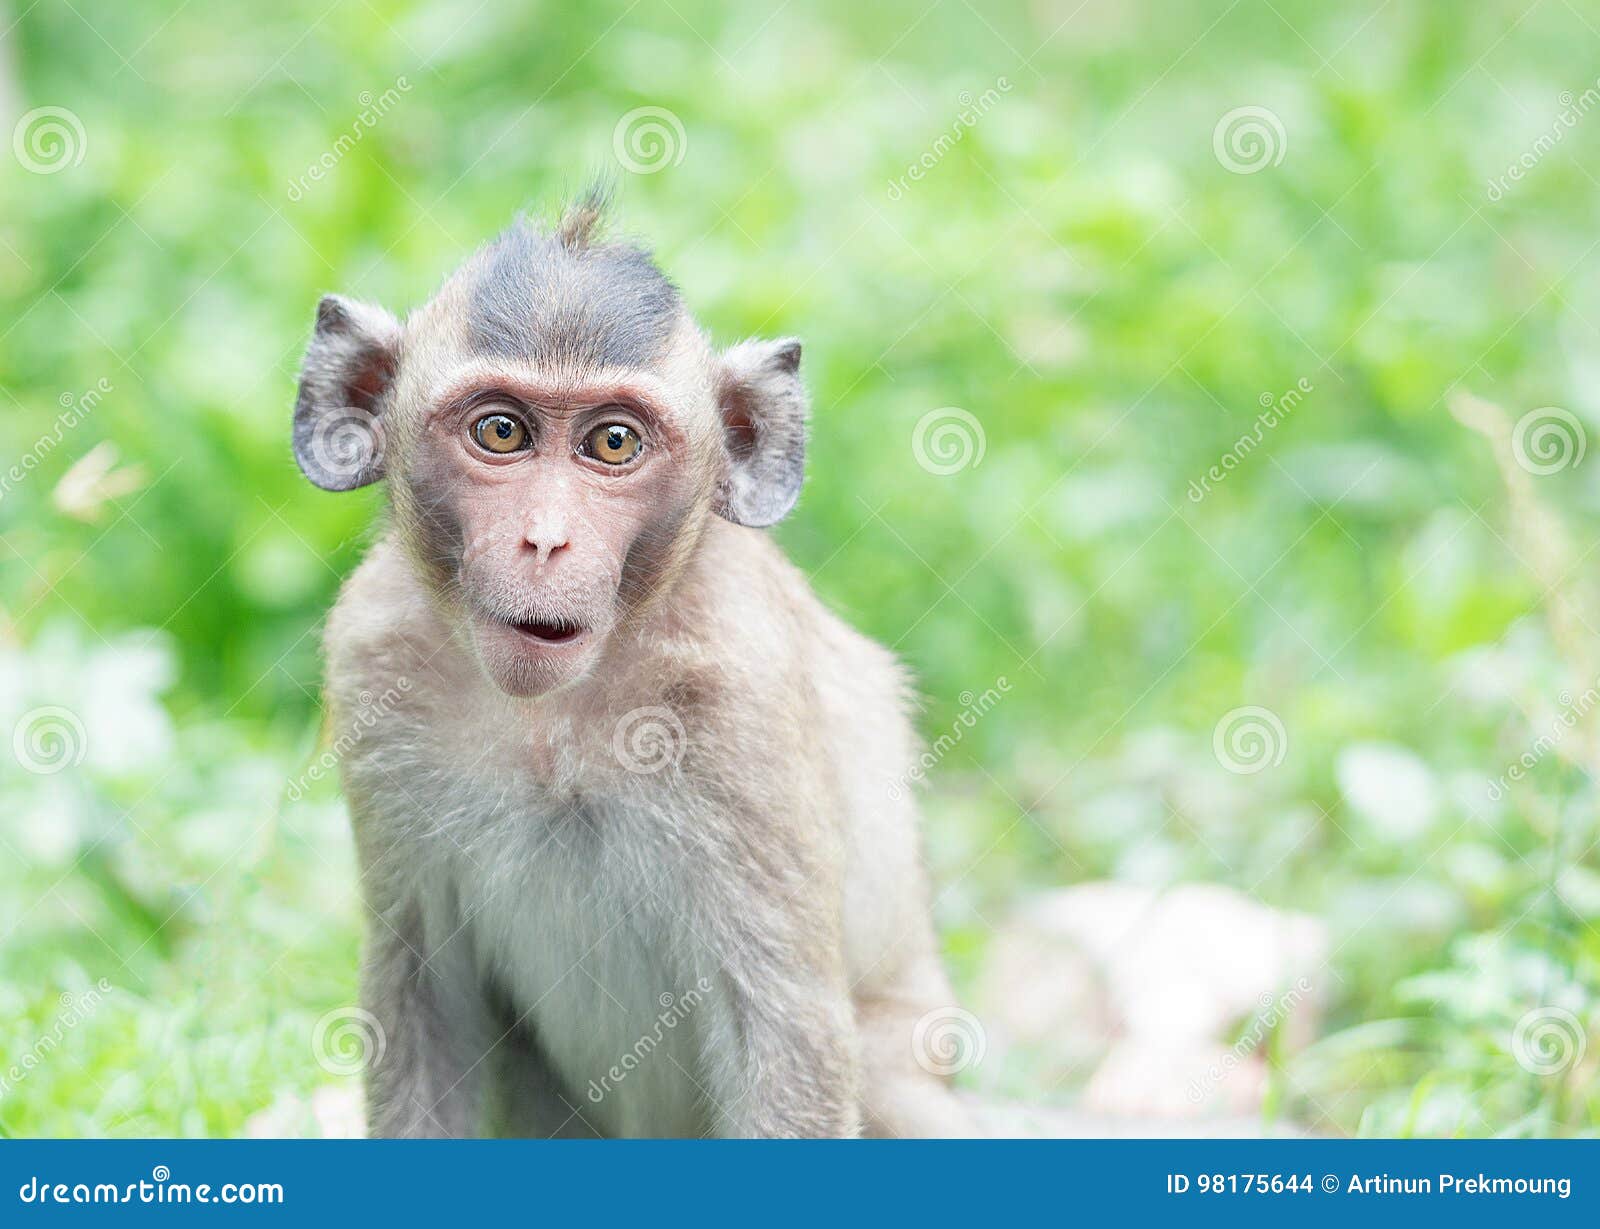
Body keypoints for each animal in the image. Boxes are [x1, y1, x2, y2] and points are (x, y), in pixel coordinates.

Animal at [292, 188, 976, 1139]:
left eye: (613, 443)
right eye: (500, 430)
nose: (546, 538)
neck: (554, 716)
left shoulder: (741, 691)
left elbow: (782, 1033)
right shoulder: (372, 652)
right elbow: (424, 996)